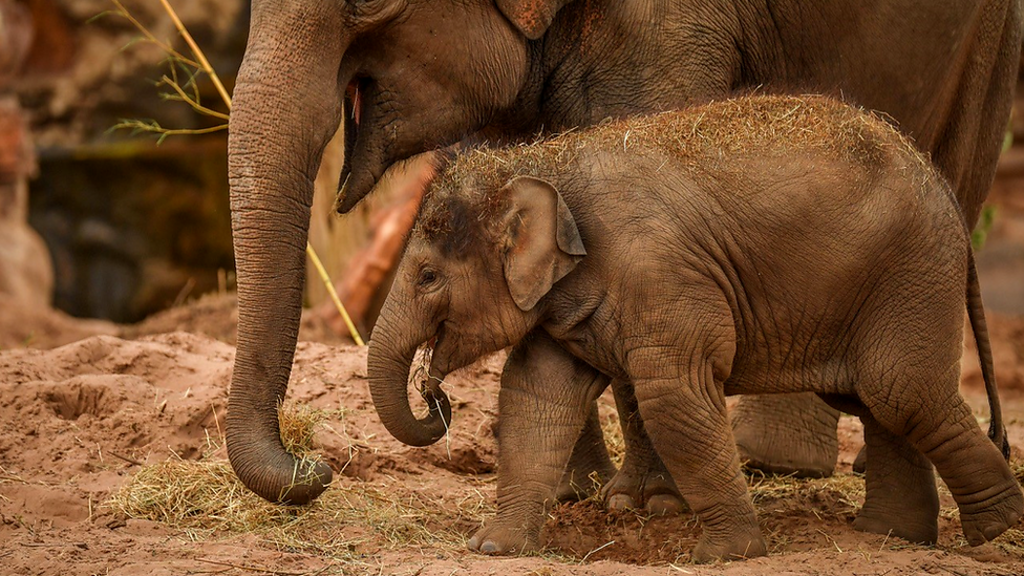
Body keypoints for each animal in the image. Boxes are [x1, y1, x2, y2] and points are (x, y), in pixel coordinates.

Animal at [366, 95, 1023, 562]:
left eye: (427, 276)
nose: (435, 394)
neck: (541, 161)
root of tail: (946, 191)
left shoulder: (660, 274)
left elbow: (674, 398)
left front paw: (725, 554)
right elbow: (534, 396)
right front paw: (494, 548)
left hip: (911, 277)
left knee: (902, 392)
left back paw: (995, 532)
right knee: (876, 400)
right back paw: (890, 537)